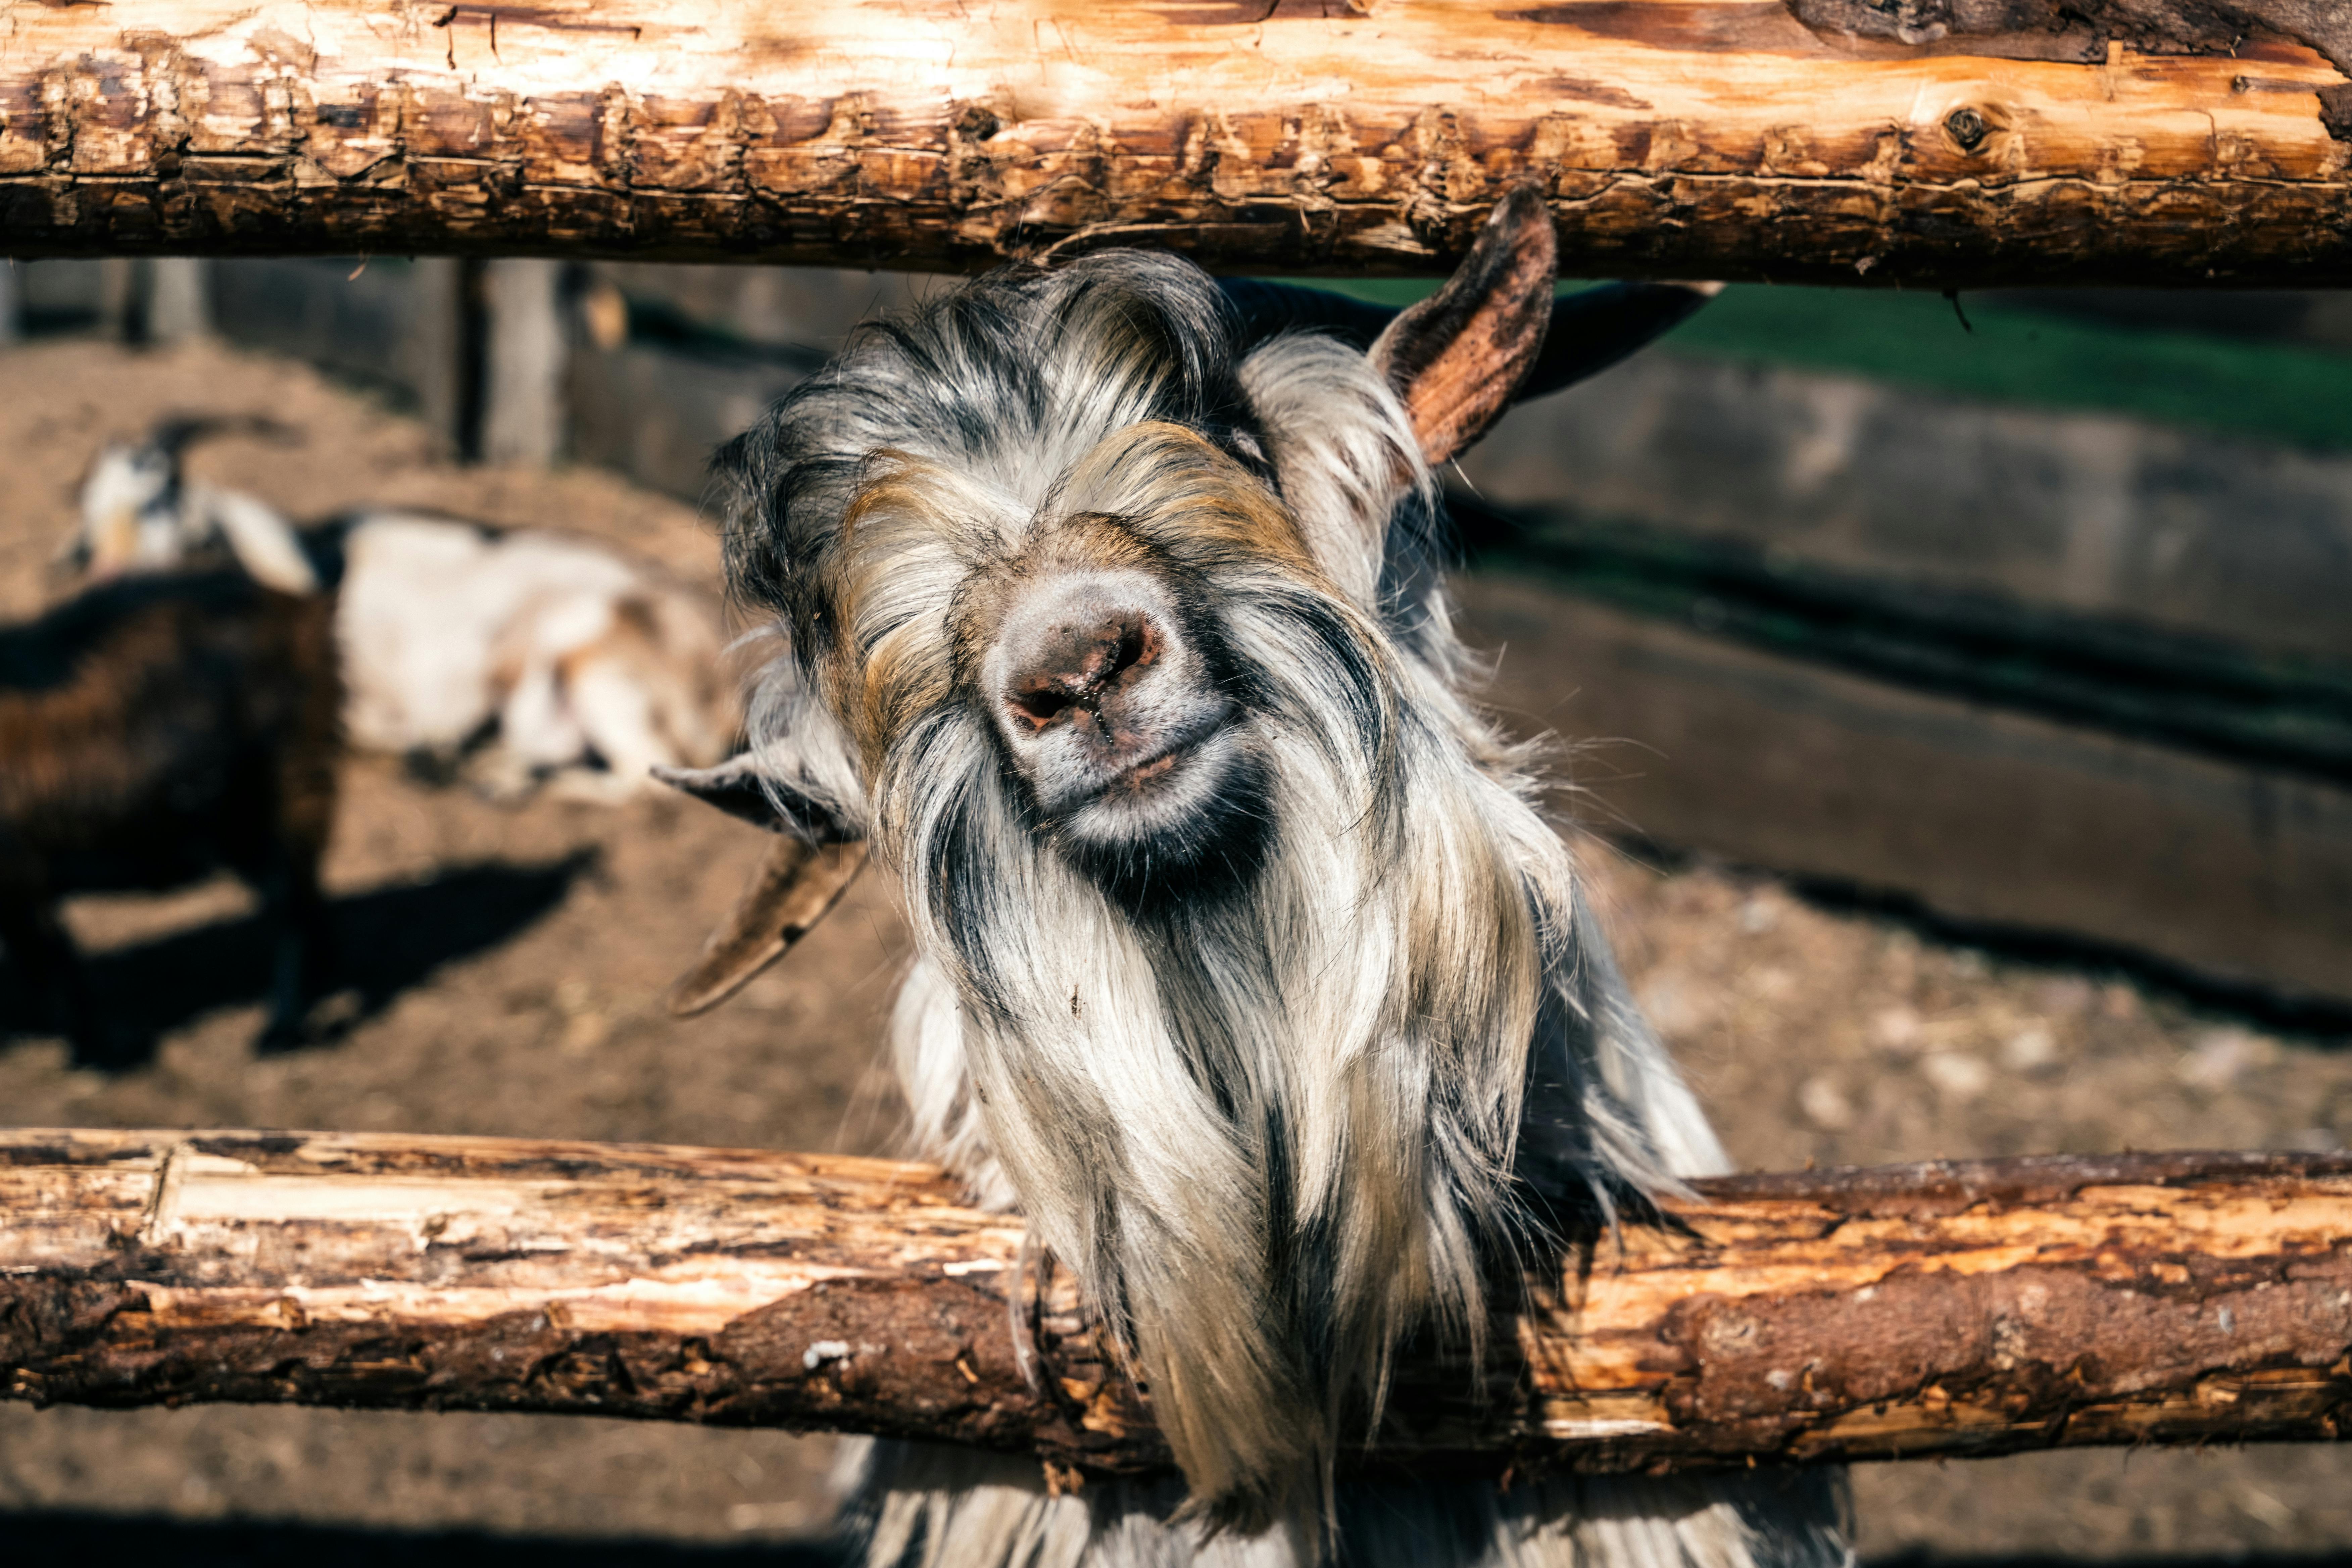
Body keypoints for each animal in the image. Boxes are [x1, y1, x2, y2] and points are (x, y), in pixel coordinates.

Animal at [0, 570, 340, 1058]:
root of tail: (303, 608)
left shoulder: (18, 871)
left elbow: (51, 960)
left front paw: (111, 1051)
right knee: (306, 896)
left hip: (276, 788)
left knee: (293, 902)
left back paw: (281, 1031)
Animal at [60, 431, 738, 802]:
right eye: (89, 515)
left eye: (160, 506)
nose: (107, 583)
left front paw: (426, 747)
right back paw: (489, 772)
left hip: (590, 664)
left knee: (643, 779)